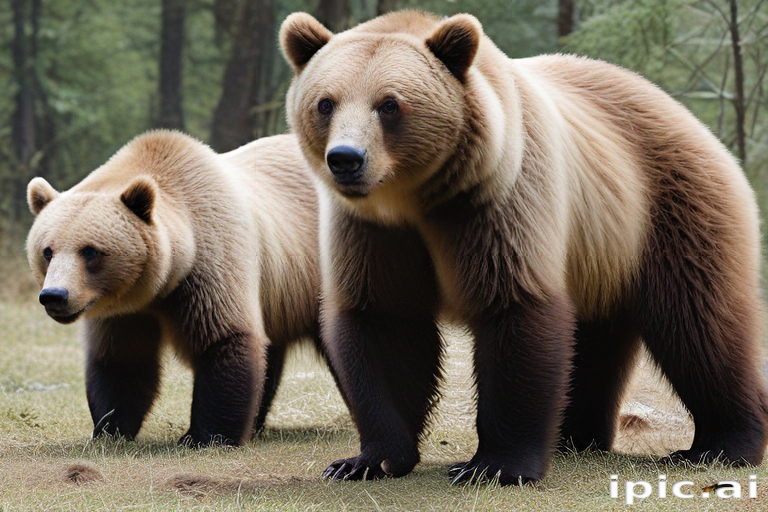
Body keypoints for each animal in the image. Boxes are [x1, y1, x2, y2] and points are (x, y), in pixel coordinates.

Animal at [26, 131, 324, 446]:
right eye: (47, 251)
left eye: (90, 252)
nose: (54, 296)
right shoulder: (123, 309)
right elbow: (121, 360)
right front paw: (110, 429)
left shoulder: (209, 264)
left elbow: (222, 338)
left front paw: (206, 436)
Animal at [279, 10, 768, 485]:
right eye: (325, 103)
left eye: (389, 104)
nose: (346, 159)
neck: (417, 200)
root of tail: (692, 121)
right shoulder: (373, 231)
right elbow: (384, 321)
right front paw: (366, 460)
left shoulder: (499, 200)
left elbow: (513, 308)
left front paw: (493, 466)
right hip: (601, 250)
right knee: (597, 338)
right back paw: (576, 436)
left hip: (670, 209)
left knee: (699, 323)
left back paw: (720, 445)